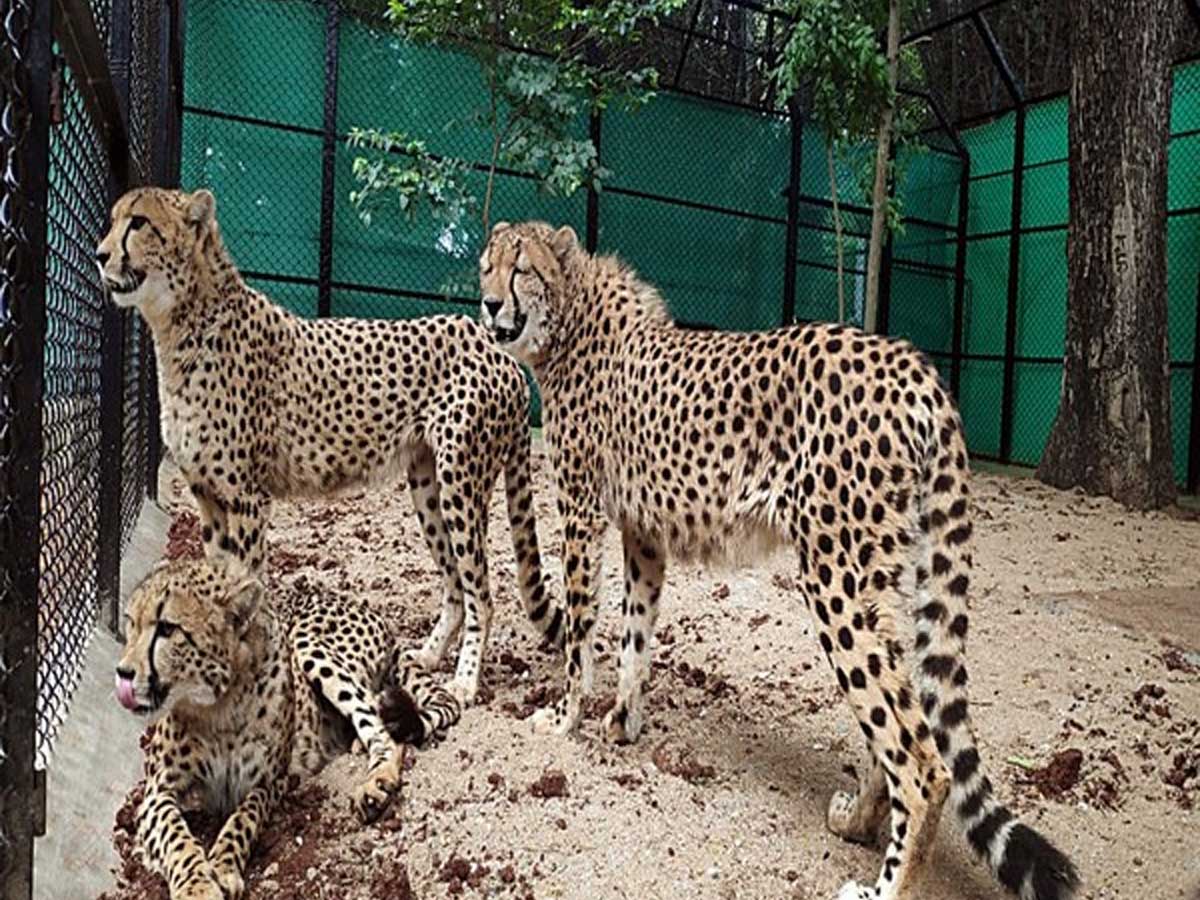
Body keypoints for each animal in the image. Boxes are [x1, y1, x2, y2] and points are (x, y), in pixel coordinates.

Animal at [95, 187, 564, 705]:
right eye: (114, 220)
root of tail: (498, 348)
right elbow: (219, 583)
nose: (99, 254)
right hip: (429, 487)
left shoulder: (245, 497)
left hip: (461, 482)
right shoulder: (208, 495)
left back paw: (464, 680)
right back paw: (429, 655)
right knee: (455, 583)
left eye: (138, 223)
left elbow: (249, 580)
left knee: (480, 590)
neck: (182, 323)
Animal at [114, 557, 460, 900]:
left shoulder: (272, 781)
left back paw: (376, 783)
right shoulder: (156, 792)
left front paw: (223, 867)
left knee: (380, 725)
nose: (123, 672)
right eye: (130, 622)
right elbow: (175, 836)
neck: (219, 704)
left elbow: (243, 819)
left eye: (167, 628)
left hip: (310, 644)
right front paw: (196, 886)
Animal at [477, 220, 1079, 900]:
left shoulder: (583, 513)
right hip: (877, 575)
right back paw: (858, 820)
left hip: (833, 576)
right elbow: (635, 633)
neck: (570, 319)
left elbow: (581, 627)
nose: (489, 304)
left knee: (923, 761)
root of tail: (914, 364)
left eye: (522, 269)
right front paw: (623, 722)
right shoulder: (645, 533)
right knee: (901, 715)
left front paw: (564, 717)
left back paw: (886, 884)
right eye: (486, 266)